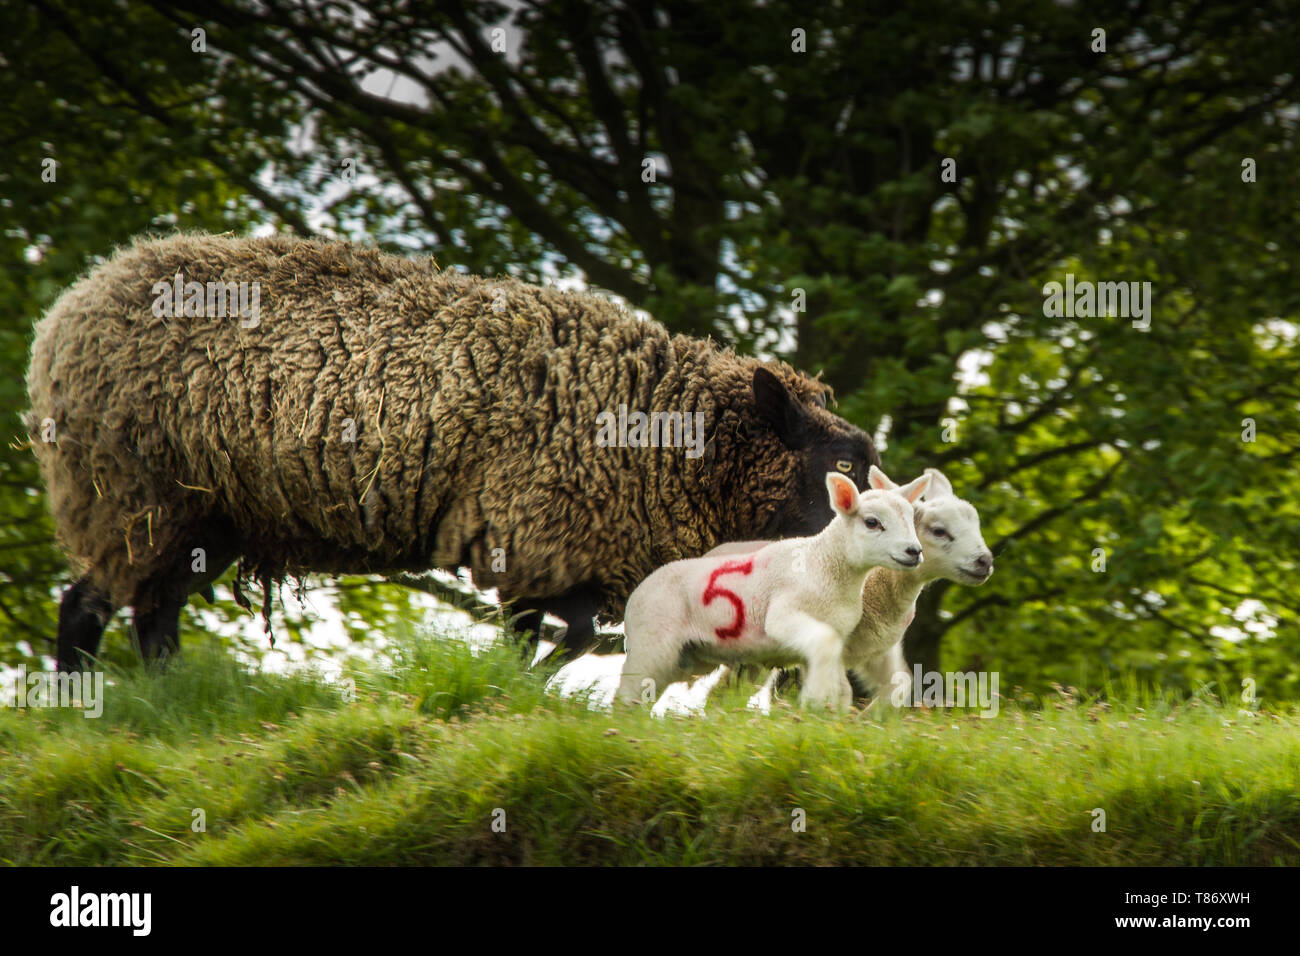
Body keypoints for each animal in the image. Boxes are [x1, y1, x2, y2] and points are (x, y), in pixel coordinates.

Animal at [24, 232, 883, 670]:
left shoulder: (563, 549)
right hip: (129, 492)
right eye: (840, 464)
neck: (669, 432)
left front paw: (526, 687)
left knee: (153, 612)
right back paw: (90, 706)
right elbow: (552, 634)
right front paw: (517, 686)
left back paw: (163, 697)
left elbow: (567, 636)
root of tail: (67, 309)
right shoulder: (532, 530)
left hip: (204, 518)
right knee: (88, 606)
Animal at [616, 467, 931, 711]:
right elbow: (825, 644)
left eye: (911, 518)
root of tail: (636, 596)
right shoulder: (783, 616)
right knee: (626, 697)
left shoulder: (835, 637)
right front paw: (816, 698)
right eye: (872, 522)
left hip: (685, 657)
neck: (825, 563)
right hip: (651, 646)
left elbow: (836, 675)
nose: (914, 551)